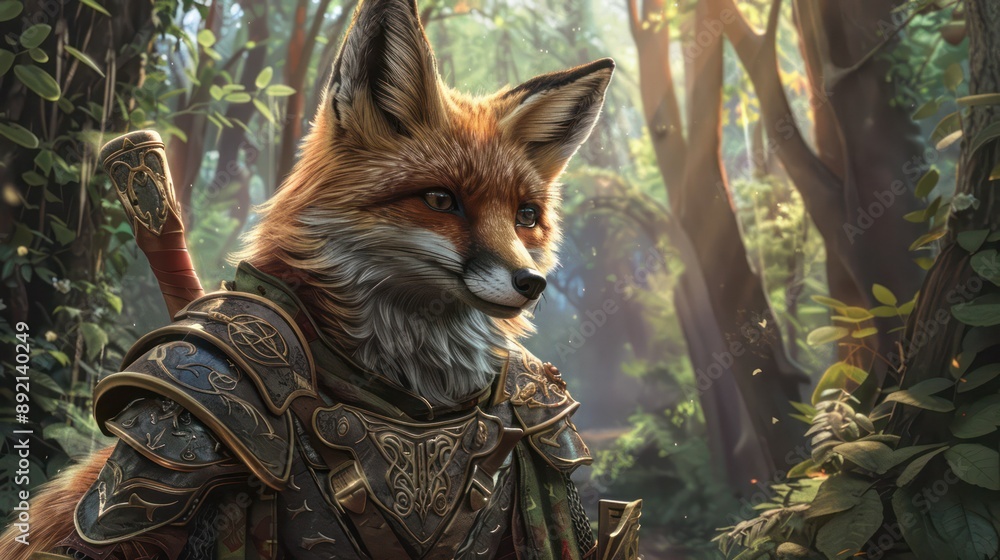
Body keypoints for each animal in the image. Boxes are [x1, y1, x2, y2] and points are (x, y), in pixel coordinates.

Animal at [1, 0, 623, 558]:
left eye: (526, 216)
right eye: (441, 200)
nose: (531, 283)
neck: (417, 400)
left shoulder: (543, 423)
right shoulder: (180, 420)